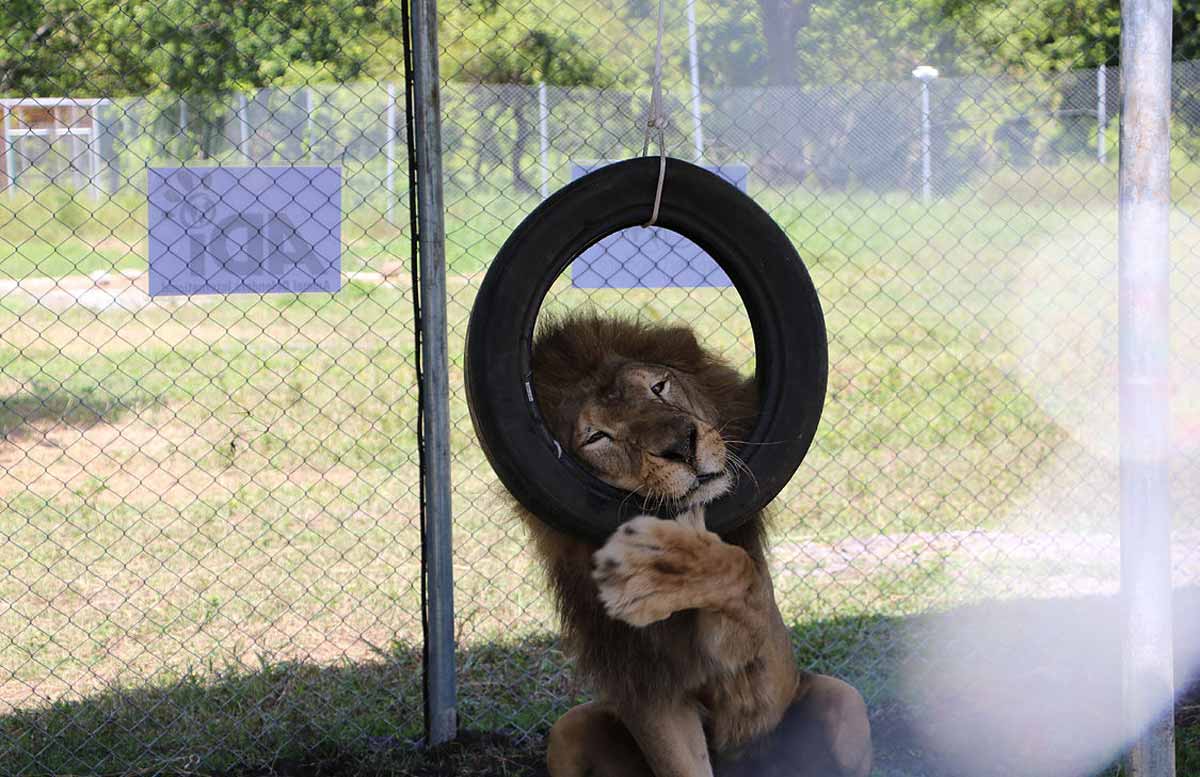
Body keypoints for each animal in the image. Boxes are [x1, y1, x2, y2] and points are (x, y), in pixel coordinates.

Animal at [515, 312, 873, 777]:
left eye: (658, 387)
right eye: (597, 438)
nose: (682, 446)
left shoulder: (755, 657)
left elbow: (738, 570)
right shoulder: (649, 690)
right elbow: (681, 763)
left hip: (844, 699)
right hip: (567, 730)